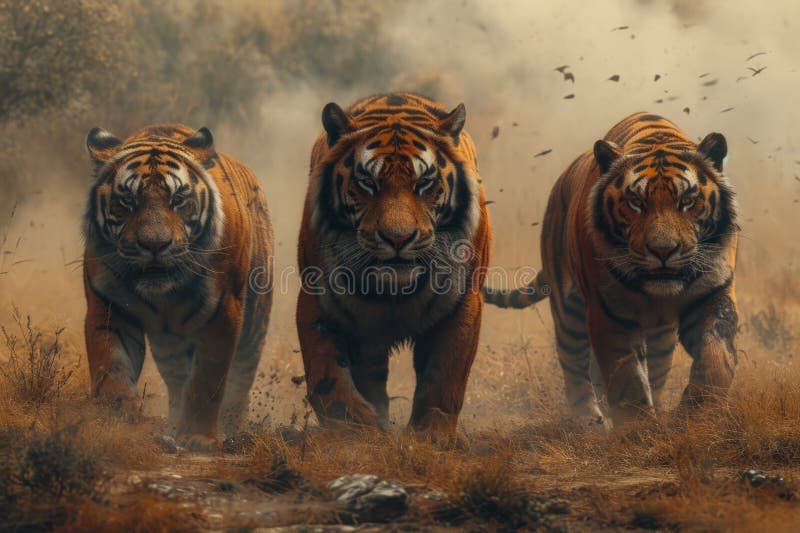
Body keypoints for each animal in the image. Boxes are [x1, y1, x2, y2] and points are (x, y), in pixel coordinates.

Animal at [83, 124, 273, 451]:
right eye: (127, 201)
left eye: (179, 200)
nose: (154, 245)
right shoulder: (108, 306)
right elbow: (112, 368)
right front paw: (117, 424)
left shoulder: (223, 312)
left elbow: (208, 380)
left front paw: (199, 438)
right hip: (168, 345)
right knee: (177, 380)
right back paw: (173, 423)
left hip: (253, 327)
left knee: (240, 380)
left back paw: (233, 428)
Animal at [296, 92, 491, 435]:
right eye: (366, 182)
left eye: (424, 183)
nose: (398, 238)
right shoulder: (315, 299)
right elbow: (325, 376)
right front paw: (357, 431)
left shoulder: (463, 301)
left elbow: (445, 375)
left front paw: (429, 436)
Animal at [484, 112, 739, 427]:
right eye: (636, 203)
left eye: (687, 201)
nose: (663, 250)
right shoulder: (608, 313)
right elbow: (626, 378)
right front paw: (637, 430)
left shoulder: (712, 294)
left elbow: (715, 354)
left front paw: (698, 414)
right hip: (568, 312)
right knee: (574, 366)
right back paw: (589, 421)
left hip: (660, 336)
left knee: (656, 368)